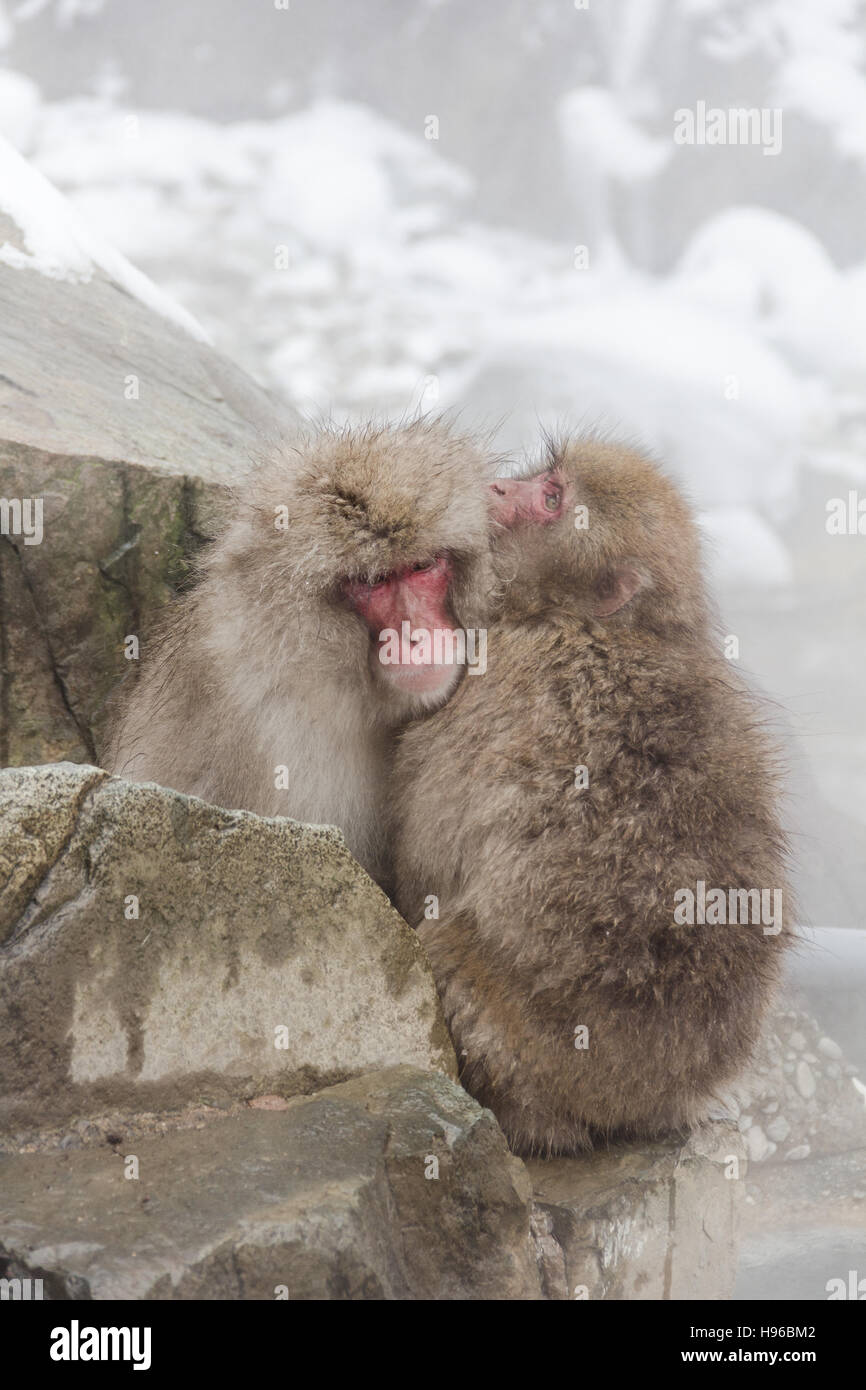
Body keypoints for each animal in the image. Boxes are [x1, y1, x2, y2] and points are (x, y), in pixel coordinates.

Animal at [390, 436, 790, 1156]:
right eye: (549, 477)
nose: (499, 489)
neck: (585, 622)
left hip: (521, 1043)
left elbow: (430, 858)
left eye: (551, 500)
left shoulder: (491, 684)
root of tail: (637, 1097)